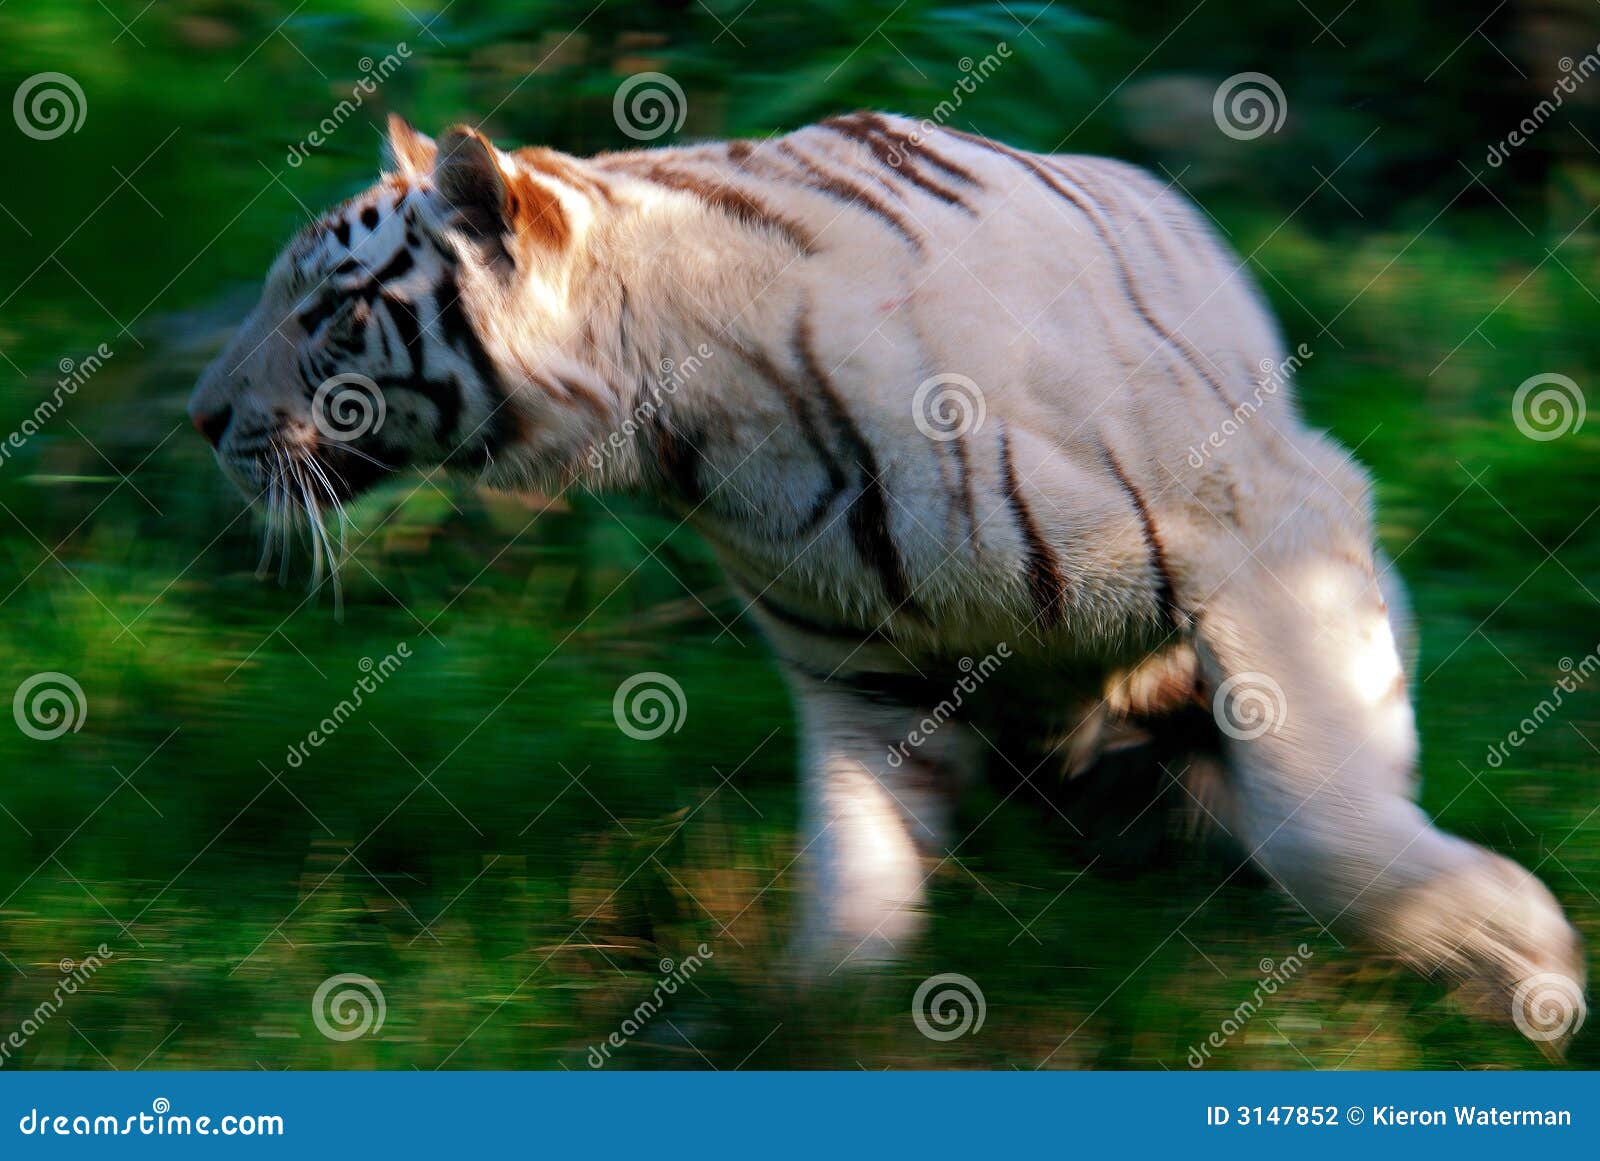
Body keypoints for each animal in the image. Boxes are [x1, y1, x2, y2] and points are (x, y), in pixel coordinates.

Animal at [188, 112, 1583, 1042]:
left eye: (326, 315)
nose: (201, 419)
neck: (687, 432)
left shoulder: (1266, 516)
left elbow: (1322, 814)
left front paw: (1515, 959)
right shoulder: (852, 665)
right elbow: (855, 867)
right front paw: (817, 1026)